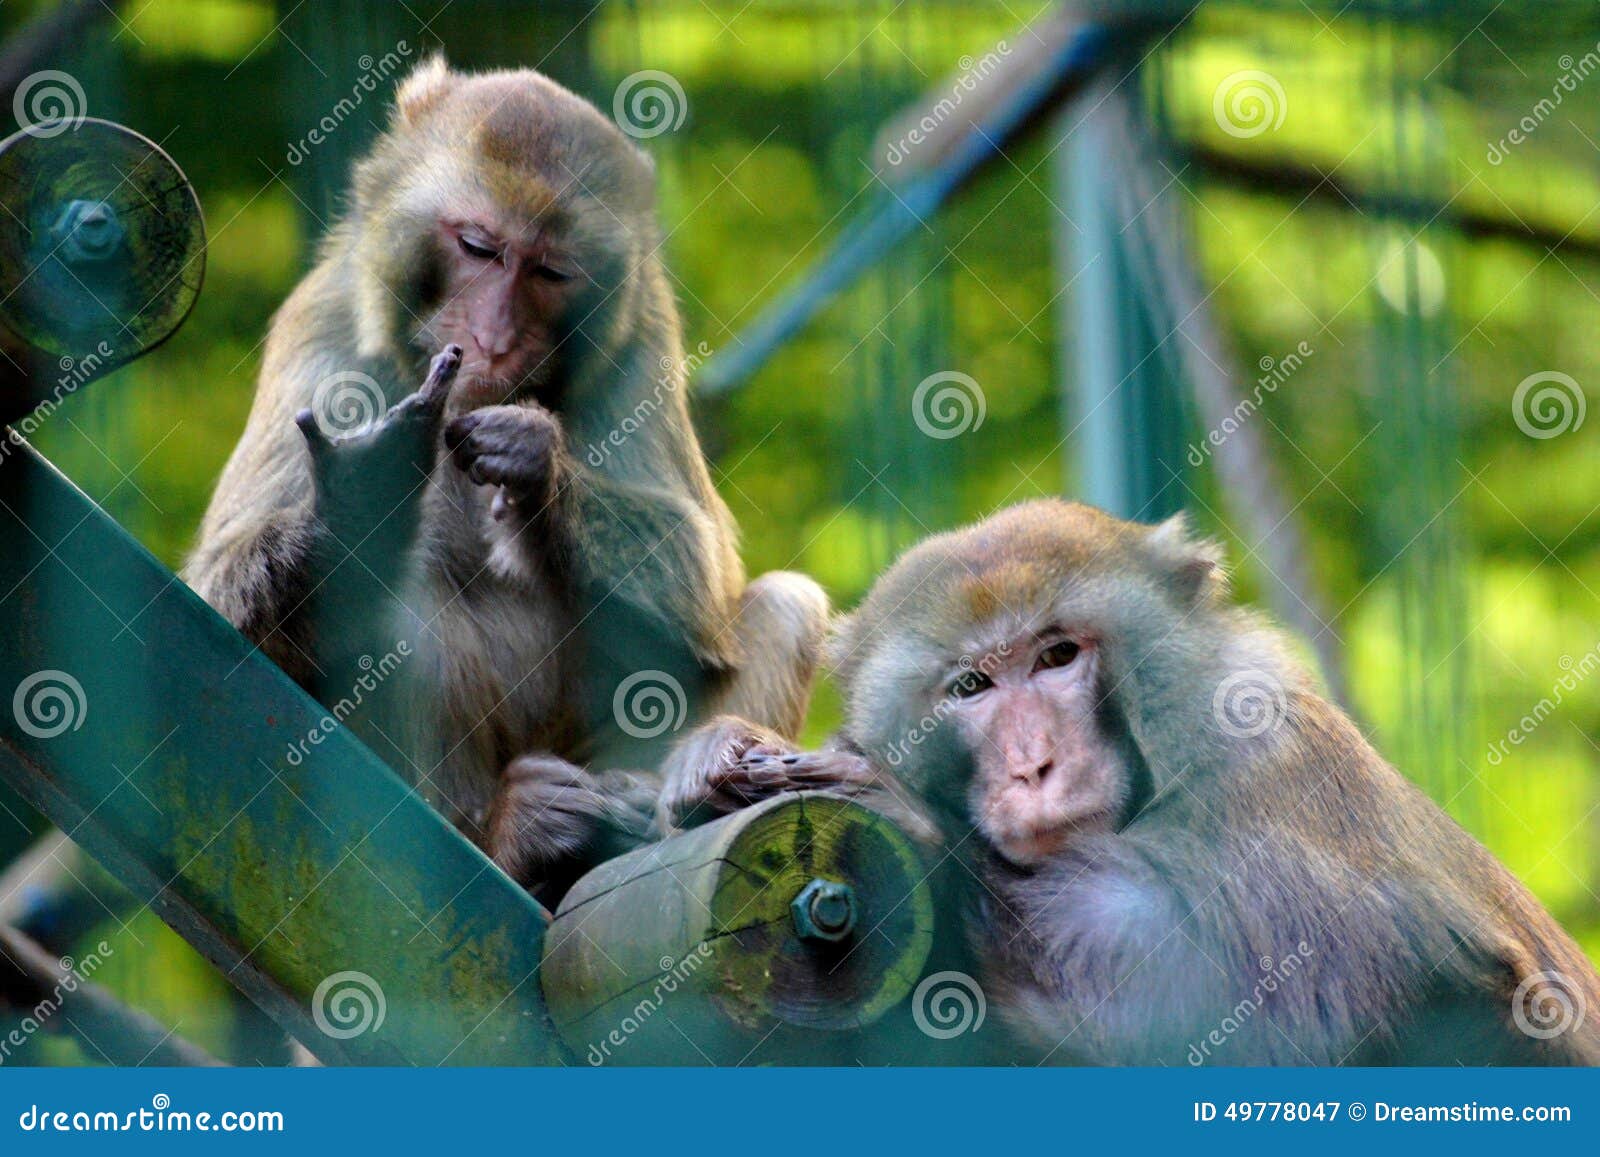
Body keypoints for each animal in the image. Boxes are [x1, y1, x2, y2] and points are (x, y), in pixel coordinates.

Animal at [183, 56, 828, 896]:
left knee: (783, 604)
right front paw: (358, 499)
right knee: (400, 608)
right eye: (479, 247)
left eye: (550, 270)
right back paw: (517, 840)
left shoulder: (641, 334)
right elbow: (219, 611)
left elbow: (705, 573)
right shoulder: (321, 323)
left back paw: (690, 789)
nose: (491, 338)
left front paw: (535, 466)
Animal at [659, 499, 1600, 1065]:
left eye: (1057, 656)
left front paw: (916, 826)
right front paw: (718, 753)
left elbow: (1266, 996)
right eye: (972, 685)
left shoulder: (1260, 768)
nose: (1033, 764)